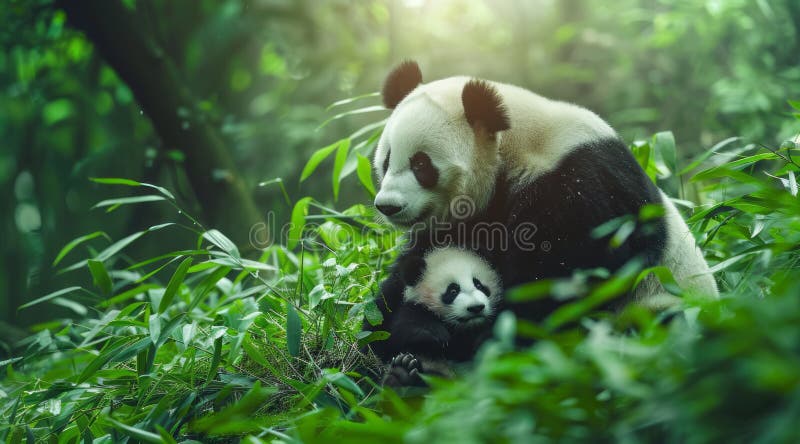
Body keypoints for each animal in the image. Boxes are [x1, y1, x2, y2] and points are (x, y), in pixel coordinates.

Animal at [366, 246, 502, 387]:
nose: (476, 307)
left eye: (479, 285)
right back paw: (400, 374)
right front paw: (435, 335)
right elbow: (401, 328)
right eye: (453, 291)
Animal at [371, 61, 718, 325]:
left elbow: (556, 285)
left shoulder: (580, 189)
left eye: (421, 165)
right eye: (387, 160)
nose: (388, 206)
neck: (517, 146)